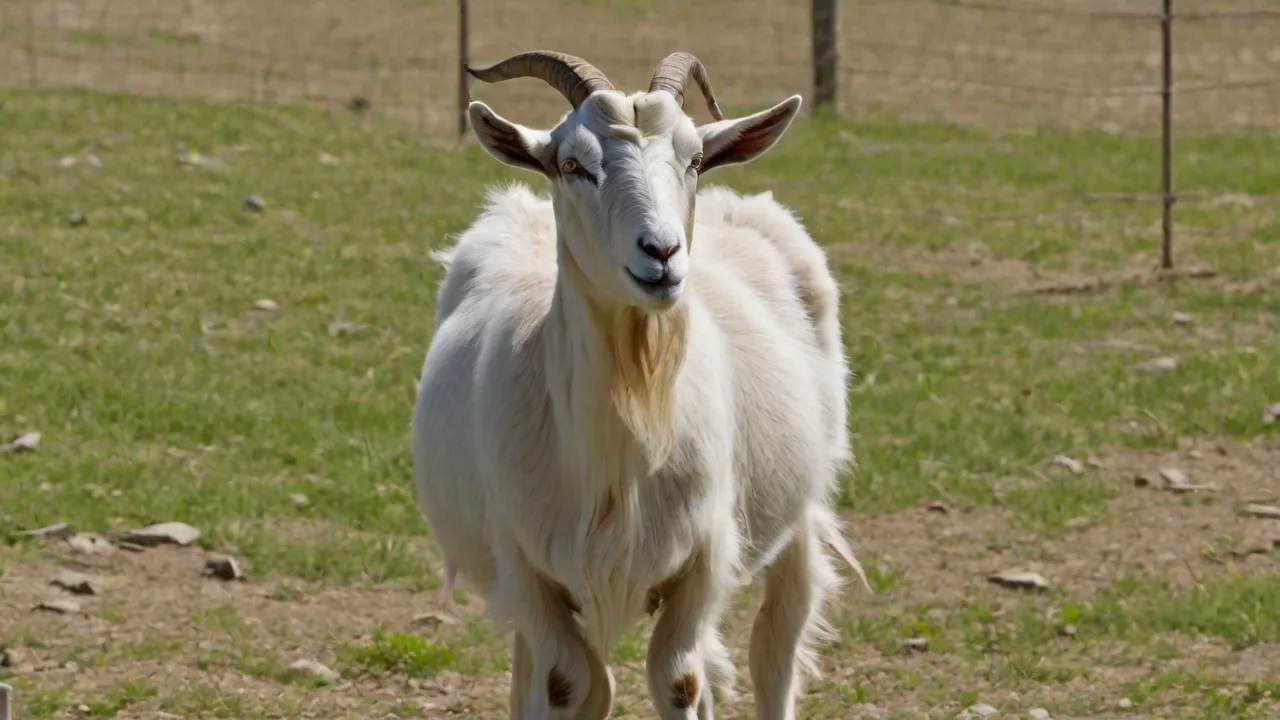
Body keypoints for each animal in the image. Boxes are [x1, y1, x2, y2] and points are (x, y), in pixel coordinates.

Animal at [412, 50, 865, 720]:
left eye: (695, 158)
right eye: (571, 164)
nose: (663, 252)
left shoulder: (702, 560)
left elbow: (679, 679)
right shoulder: (526, 566)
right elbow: (565, 682)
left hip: (802, 506)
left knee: (776, 643)